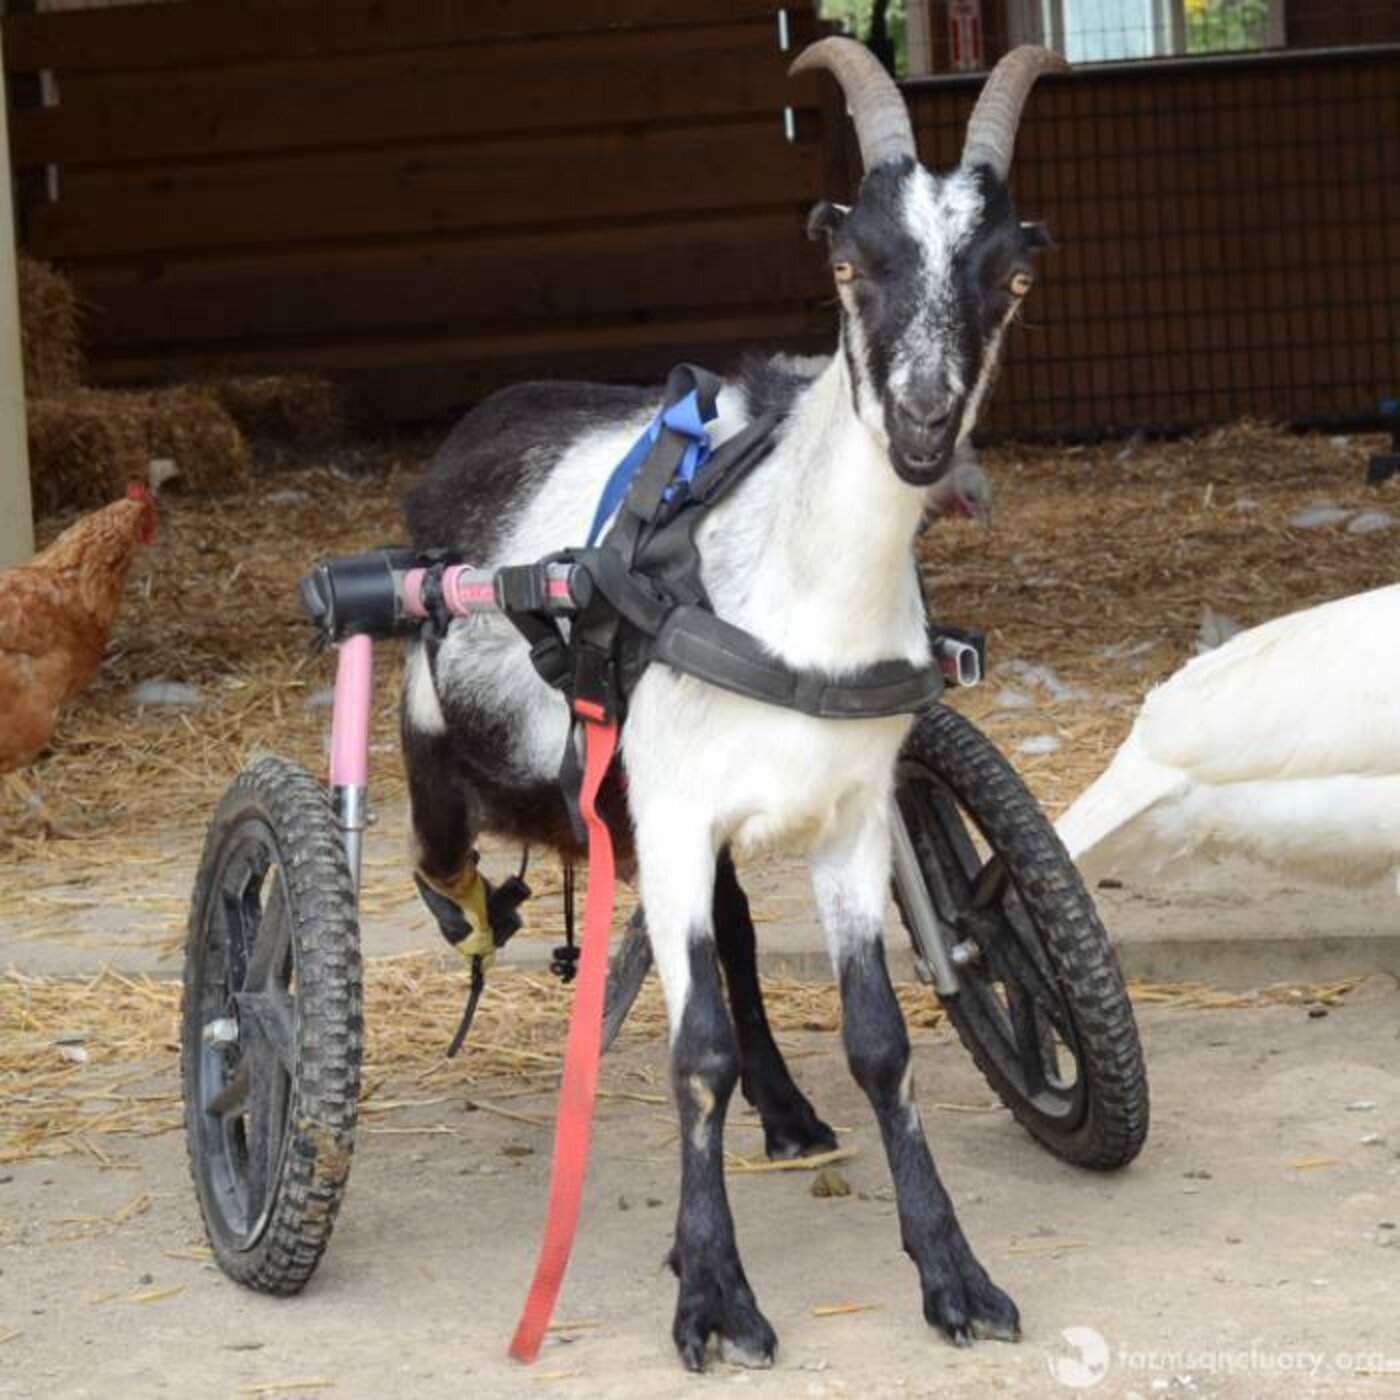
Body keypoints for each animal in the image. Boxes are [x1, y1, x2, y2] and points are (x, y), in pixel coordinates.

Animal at [400, 38, 1063, 1370]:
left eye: (1009, 277)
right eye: (851, 263)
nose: (923, 420)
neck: (786, 588)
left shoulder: (848, 819)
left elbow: (879, 1042)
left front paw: (955, 1276)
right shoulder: (670, 812)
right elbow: (692, 1048)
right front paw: (711, 1296)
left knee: (742, 938)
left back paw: (793, 1115)